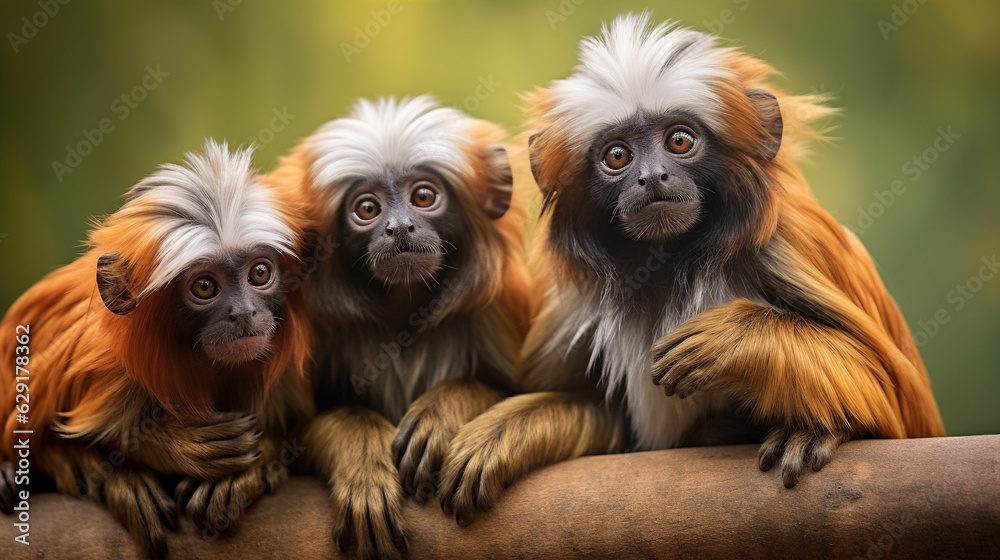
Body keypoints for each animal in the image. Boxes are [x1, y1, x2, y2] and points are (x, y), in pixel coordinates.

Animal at [0, 140, 314, 557]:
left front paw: (248, 468)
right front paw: (169, 448)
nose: (244, 313)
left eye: (259, 273)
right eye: (204, 287)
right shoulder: (103, 371)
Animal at [263, 95, 531, 560]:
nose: (400, 227)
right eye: (367, 209)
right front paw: (362, 460)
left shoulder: (498, 311)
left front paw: (440, 412)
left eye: (423, 196)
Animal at [438, 13, 945, 525]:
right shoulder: (573, 305)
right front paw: (504, 430)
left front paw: (732, 341)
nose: (652, 177)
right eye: (617, 156)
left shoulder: (790, 247)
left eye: (679, 141)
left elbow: (891, 402)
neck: (668, 258)